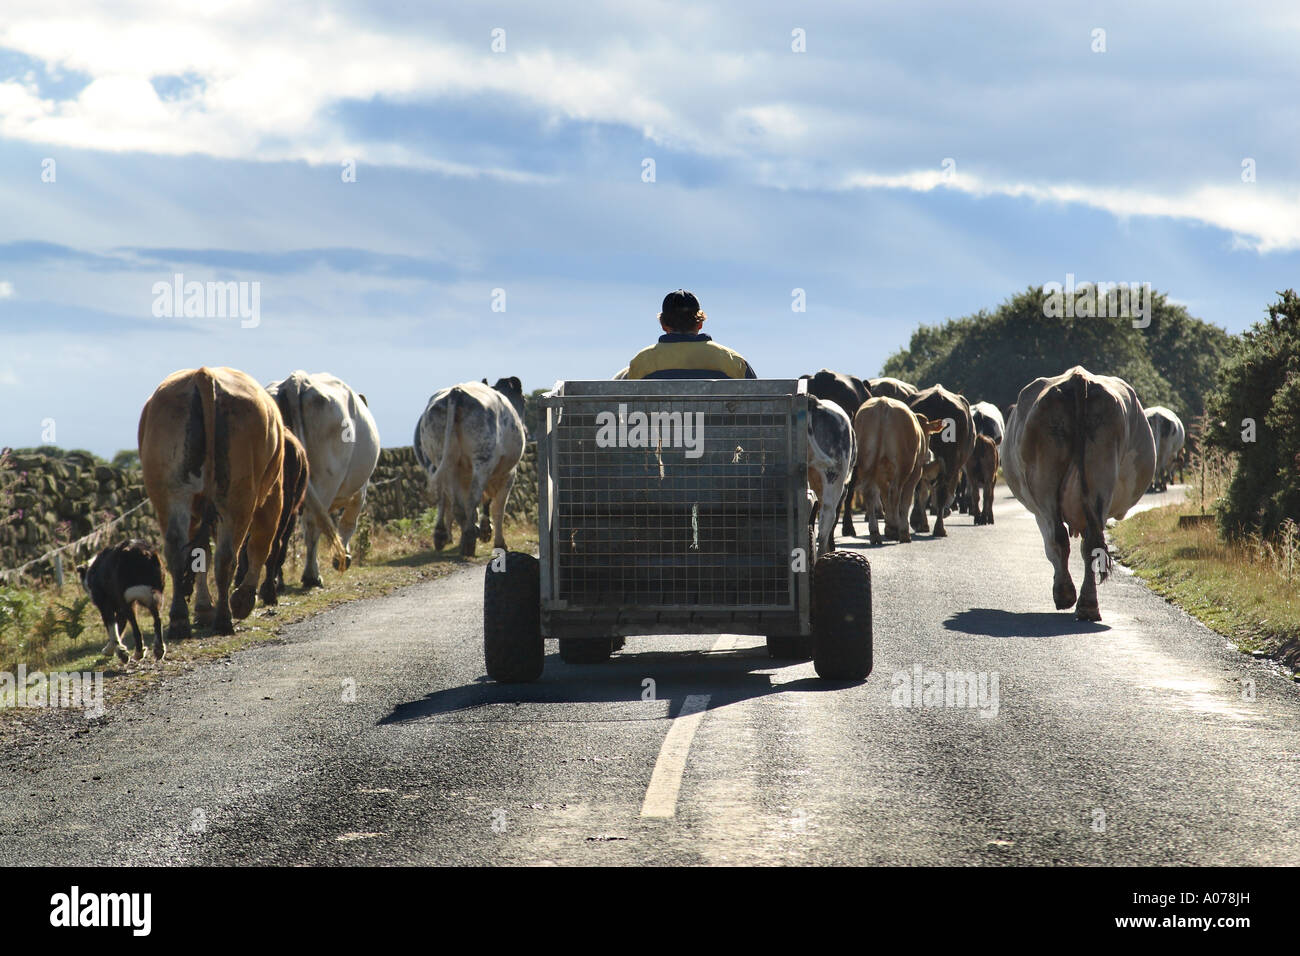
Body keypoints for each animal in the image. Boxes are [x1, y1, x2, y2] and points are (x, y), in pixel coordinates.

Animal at [139, 367, 290, 639]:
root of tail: (204, 374)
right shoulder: (273, 494)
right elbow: (261, 544)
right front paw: (242, 599)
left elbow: (200, 554)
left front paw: (202, 608)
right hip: (237, 498)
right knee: (228, 556)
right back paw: (224, 617)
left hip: (171, 494)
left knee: (178, 551)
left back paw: (179, 620)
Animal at [265, 371, 381, 588]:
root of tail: (296, 380)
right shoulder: (360, 492)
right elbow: (347, 523)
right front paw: (342, 557)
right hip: (325, 479)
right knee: (313, 524)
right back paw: (312, 575)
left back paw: (276, 580)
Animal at [414, 377, 527, 557]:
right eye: (524, 400)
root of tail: (457, 392)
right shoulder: (509, 474)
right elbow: (497, 508)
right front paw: (497, 542)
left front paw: (483, 530)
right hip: (482, 460)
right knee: (471, 499)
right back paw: (468, 539)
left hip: (444, 461)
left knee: (452, 502)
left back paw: (453, 535)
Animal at [849, 397, 945, 545]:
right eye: (929, 436)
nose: (928, 455)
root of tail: (882, 403)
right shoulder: (915, 472)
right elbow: (905, 500)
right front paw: (899, 528)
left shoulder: (881, 474)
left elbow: (884, 496)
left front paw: (888, 525)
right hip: (904, 466)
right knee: (895, 492)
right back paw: (898, 531)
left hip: (867, 464)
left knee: (870, 493)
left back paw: (875, 533)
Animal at [1002, 366, 1155, 621]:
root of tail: (1078, 378)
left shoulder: (1039, 512)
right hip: (1098, 478)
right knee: (1089, 542)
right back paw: (1088, 605)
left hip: (1045, 487)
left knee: (1059, 538)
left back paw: (1067, 595)